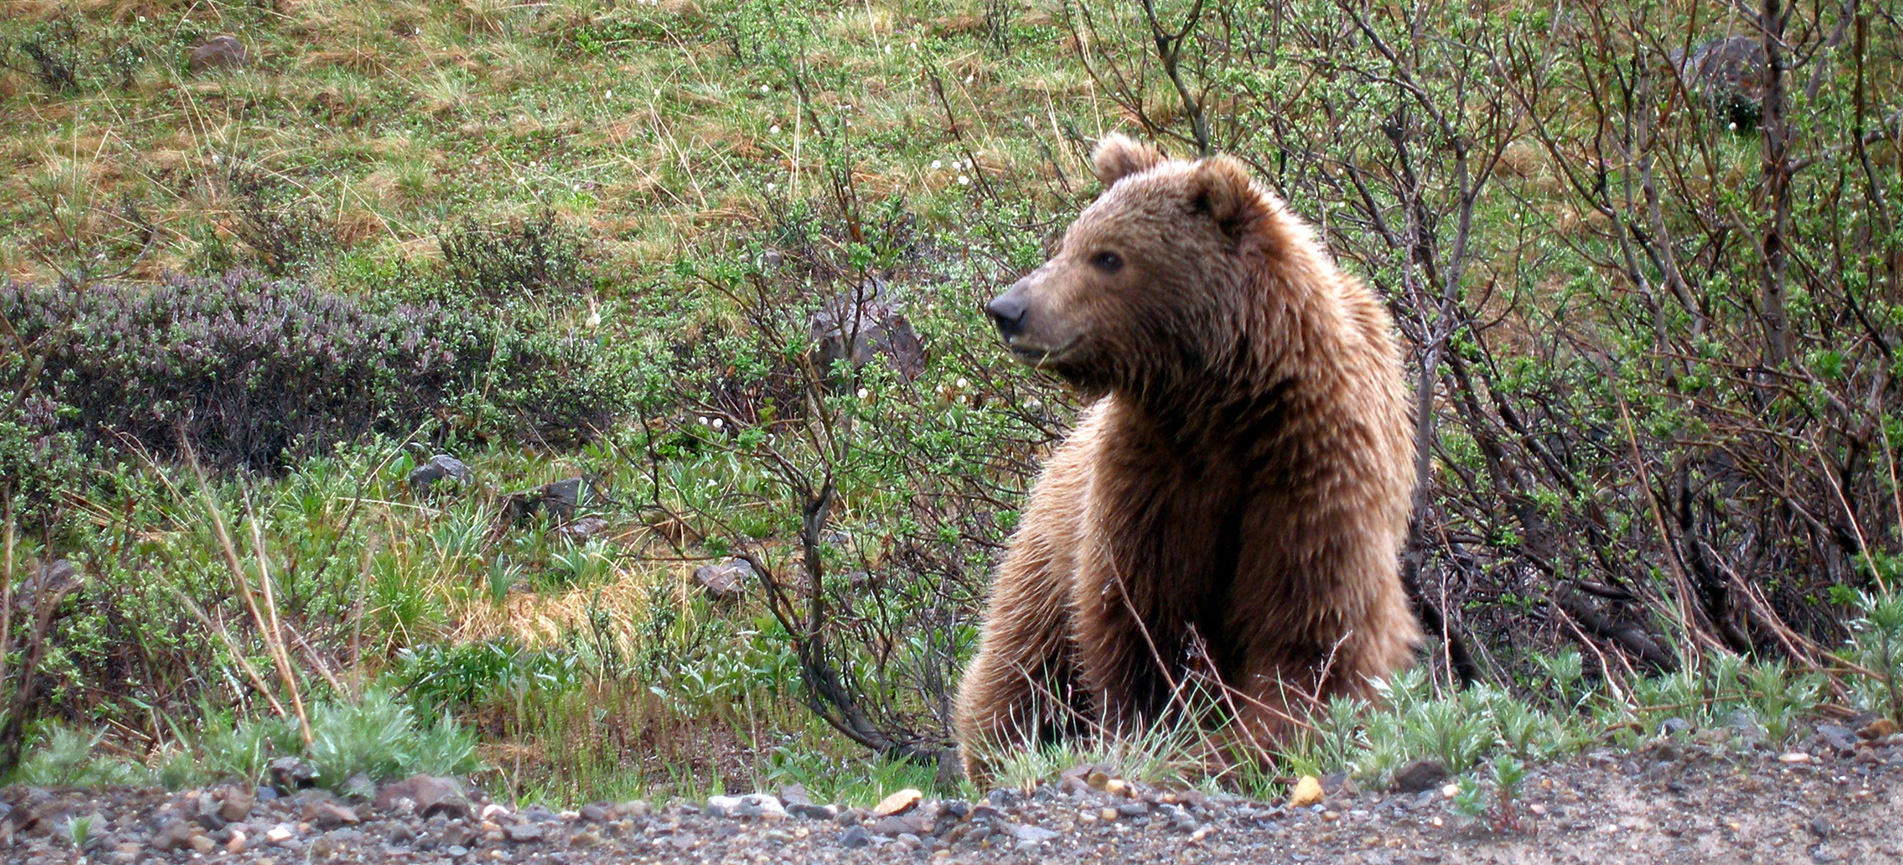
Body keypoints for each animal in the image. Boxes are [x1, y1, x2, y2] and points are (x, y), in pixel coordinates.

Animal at [953, 134, 1421, 782]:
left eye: (1108, 256)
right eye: (1070, 240)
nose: (1008, 309)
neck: (1226, 398)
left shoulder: (1312, 479)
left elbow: (1307, 641)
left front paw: (1233, 745)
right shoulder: (1156, 475)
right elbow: (1142, 621)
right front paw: (1157, 735)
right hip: (1048, 550)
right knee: (1019, 667)